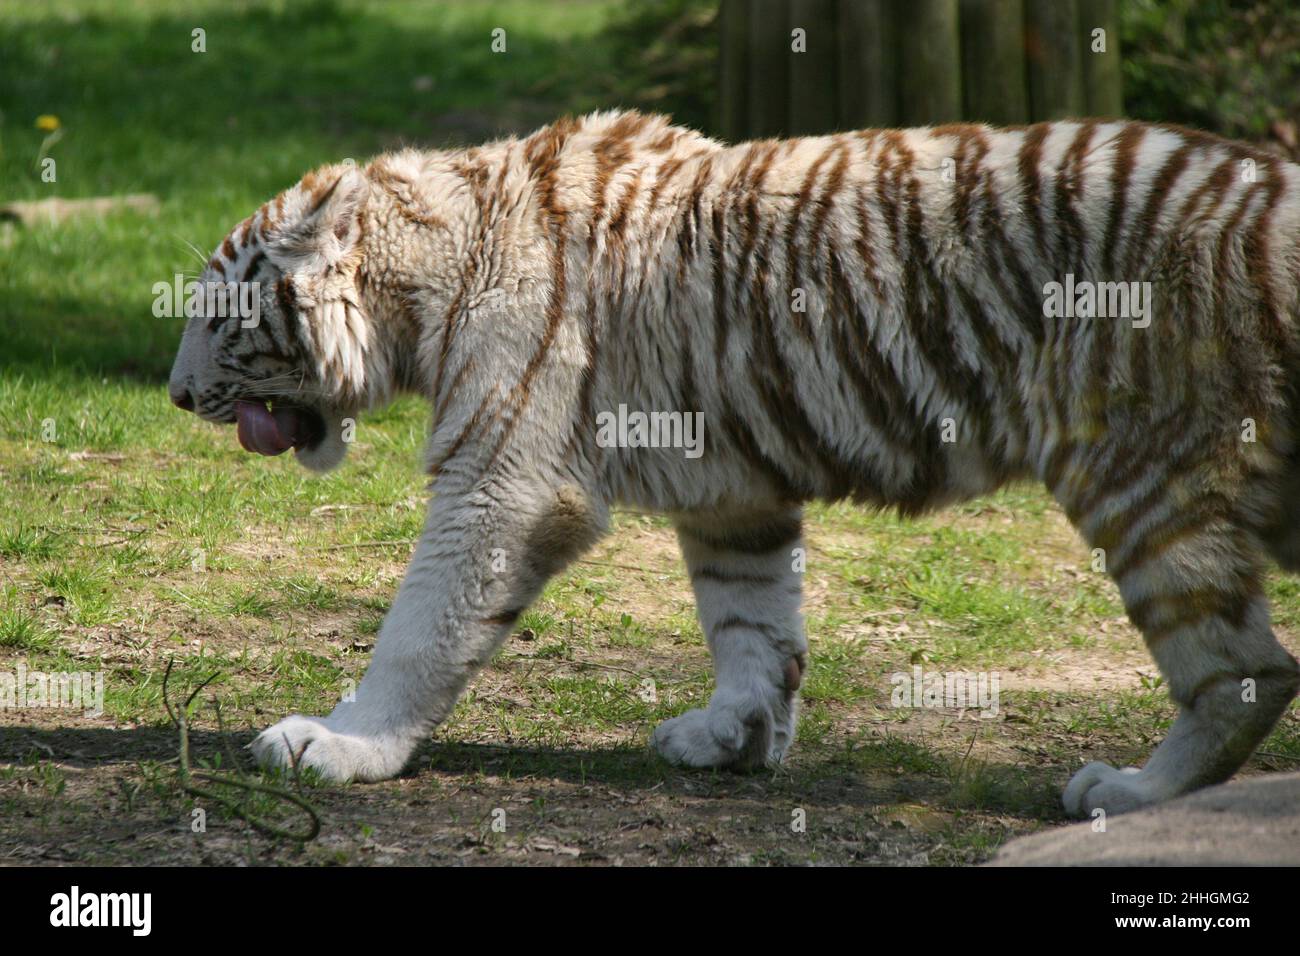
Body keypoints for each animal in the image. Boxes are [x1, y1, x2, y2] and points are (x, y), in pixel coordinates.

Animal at [167, 109, 1300, 817]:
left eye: (218, 315)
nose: (174, 396)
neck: (424, 277)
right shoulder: (733, 490)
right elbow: (753, 626)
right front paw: (735, 737)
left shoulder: (506, 480)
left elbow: (418, 631)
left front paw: (338, 743)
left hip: (1144, 475)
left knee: (1247, 671)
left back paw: (1131, 794)